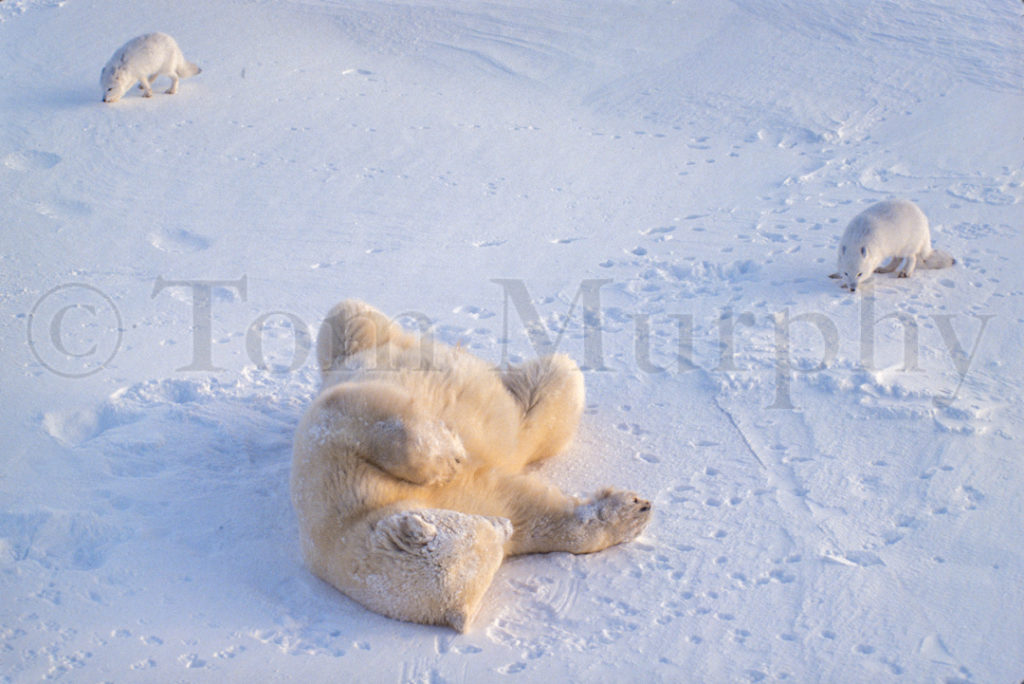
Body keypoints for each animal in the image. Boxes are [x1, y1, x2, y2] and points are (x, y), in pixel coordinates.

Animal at [291, 299, 652, 631]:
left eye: (465, 528)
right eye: (490, 545)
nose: (504, 526)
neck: (351, 521)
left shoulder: (330, 464)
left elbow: (347, 409)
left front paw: (449, 456)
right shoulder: (475, 501)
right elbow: (531, 512)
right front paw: (630, 512)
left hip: (366, 347)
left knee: (349, 319)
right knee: (549, 388)